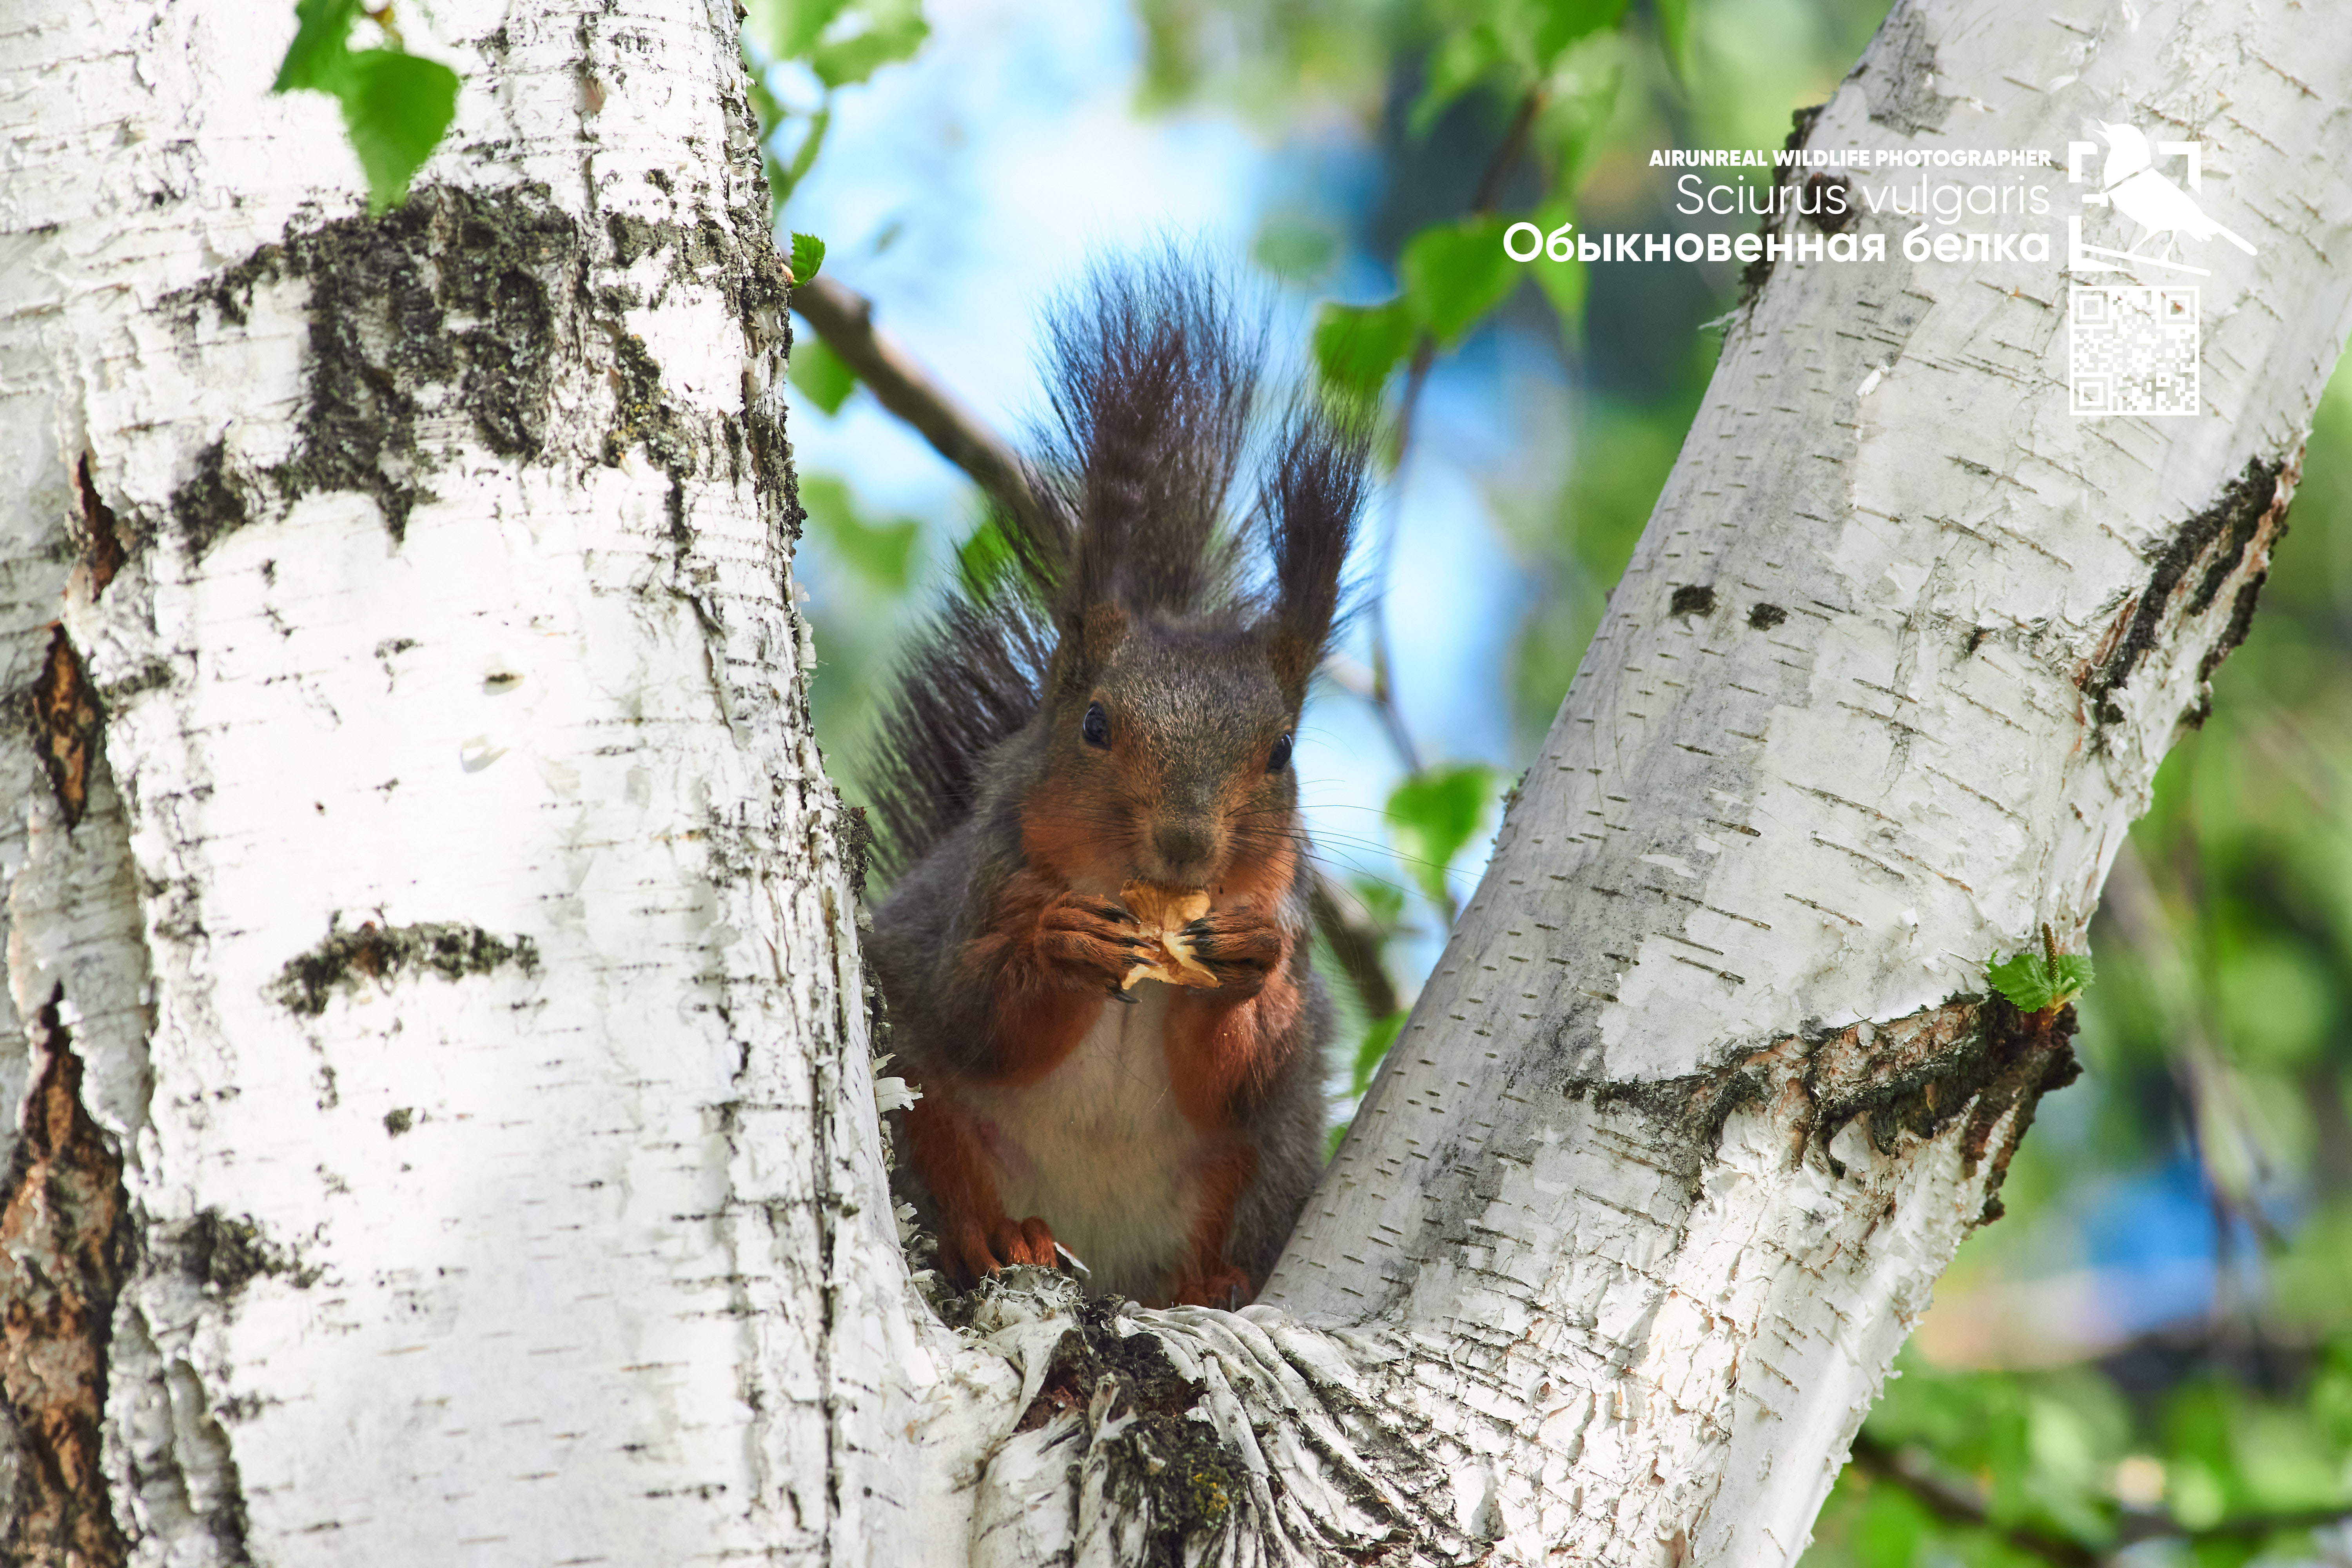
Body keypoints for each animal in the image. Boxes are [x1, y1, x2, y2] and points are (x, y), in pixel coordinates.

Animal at [861, 257, 1364, 1316]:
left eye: (1282, 750)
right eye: (1094, 725)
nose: (1184, 844)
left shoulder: (1289, 936)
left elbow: (1247, 1070)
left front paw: (1244, 961)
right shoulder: (981, 890)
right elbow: (978, 1011)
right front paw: (1063, 947)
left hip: (1263, 1171)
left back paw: (1212, 1281)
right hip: (923, 1119)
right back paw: (998, 1237)